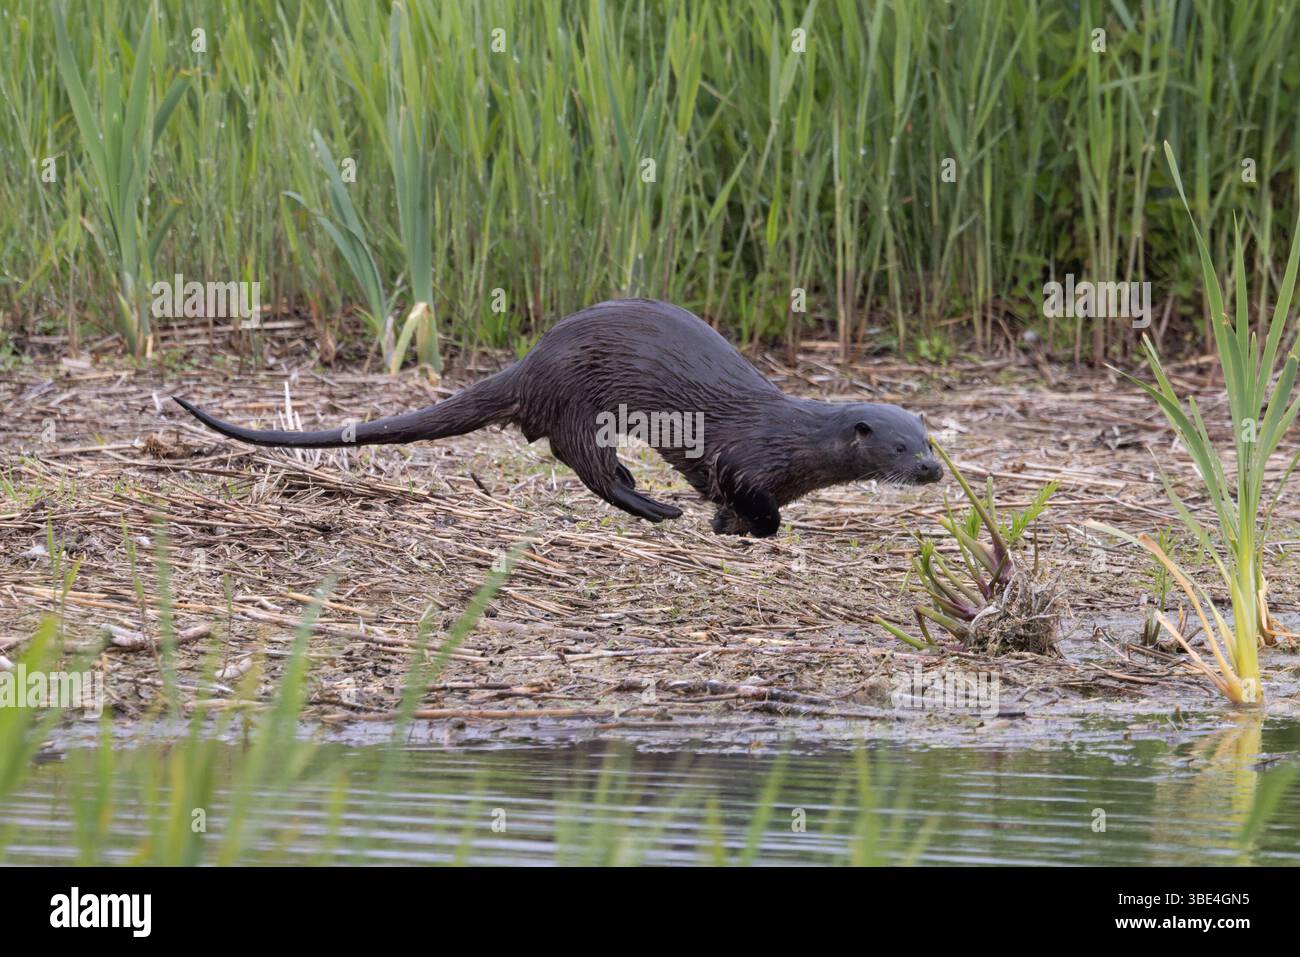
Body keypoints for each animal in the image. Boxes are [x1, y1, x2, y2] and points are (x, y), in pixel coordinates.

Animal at [174, 299, 942, 536]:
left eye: (930, 440)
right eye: (901, 449)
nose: (934, 470)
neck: (795, 441)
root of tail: (533, 361)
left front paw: (732, 525)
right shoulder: (744, 458)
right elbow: (745, 497)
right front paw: (747, 527)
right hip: (581, 401)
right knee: (586, 464)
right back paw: (655, 506)